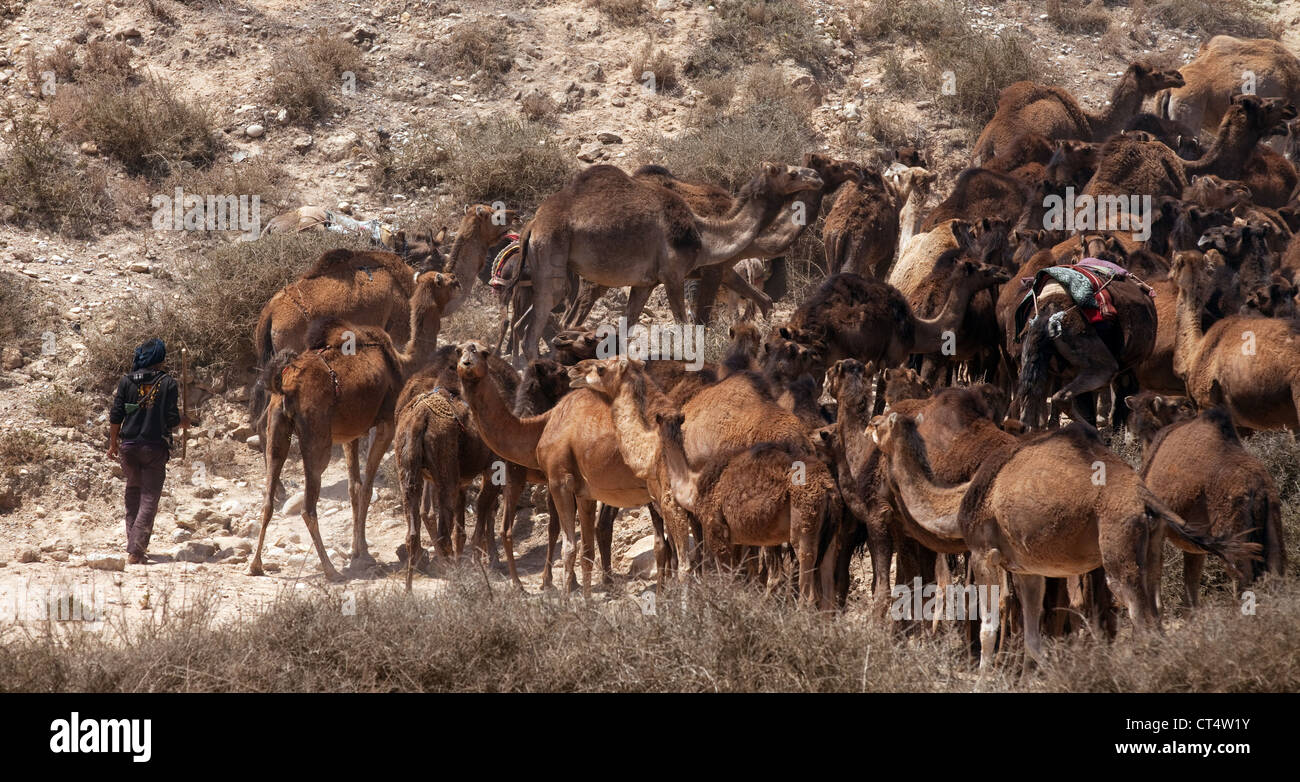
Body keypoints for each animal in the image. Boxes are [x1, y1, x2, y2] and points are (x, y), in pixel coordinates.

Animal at [251, 271, 461, 580]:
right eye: (443, 280)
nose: (457, 281)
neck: (403, 363)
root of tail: (285, 386)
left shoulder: (351, 433)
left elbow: (354, 487)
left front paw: (357, 549)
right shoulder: (385, 424)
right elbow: (367, 488)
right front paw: (362, 553)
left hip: (278, 427)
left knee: (267, 498)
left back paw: (256, 564)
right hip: (317, 439)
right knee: (308, 507)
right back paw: (330, 569)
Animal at [515, 162, 823, 360]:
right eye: (791, 172)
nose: (816, 176)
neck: (703, 233)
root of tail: (533, 223)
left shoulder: (646, 283)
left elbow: (625, 329)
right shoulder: (674, 275)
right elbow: (689, 327)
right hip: (552, 253)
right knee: (534, 331)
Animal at [868, 411, 1254, 668]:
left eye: (883, 421)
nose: (870, 422)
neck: (961, 499)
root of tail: (1144, 495)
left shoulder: (983, 552)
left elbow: (988, 628)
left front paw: (983, 677)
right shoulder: (1027, 569)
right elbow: (1033, 632)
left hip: (1118, 539)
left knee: (1138, 613)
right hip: (1153, 545)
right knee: (1156, 612)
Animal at [1127, 393, 1286, 605]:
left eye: (1176, 405)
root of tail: (1257, 488)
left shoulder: (1156, 526)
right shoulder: (1195, 543)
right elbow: (1191, 586)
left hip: (1233, 535)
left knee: (1242, 580)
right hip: (1272, 522)